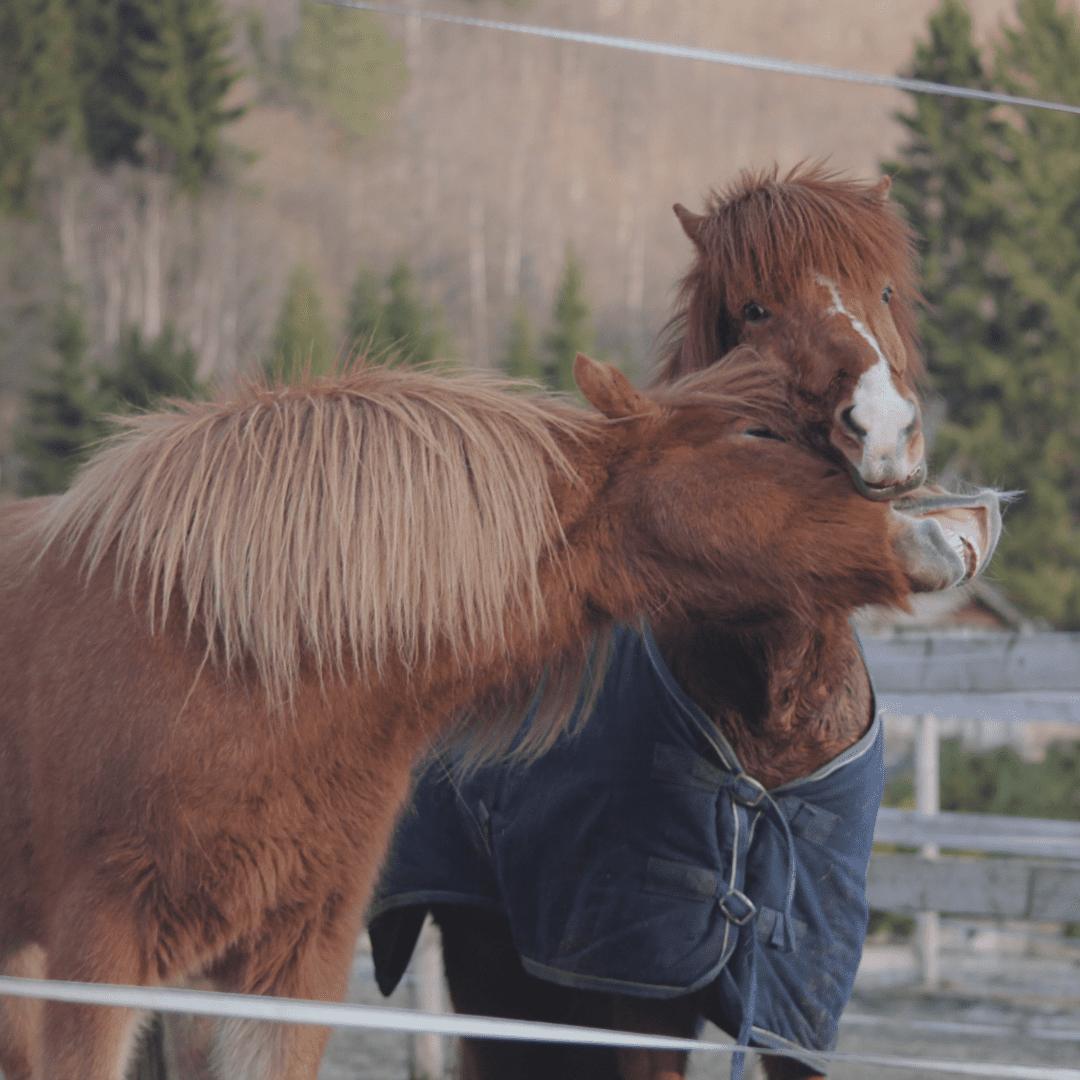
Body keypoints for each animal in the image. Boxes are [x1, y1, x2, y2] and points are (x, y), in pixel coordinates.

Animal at [369, 166, 1002, 1080]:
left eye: (884, 290)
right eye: (755, 309)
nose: (884, 432)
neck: (772, 714)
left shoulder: (791, 1001)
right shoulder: (638, 986)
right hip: (490, 954)